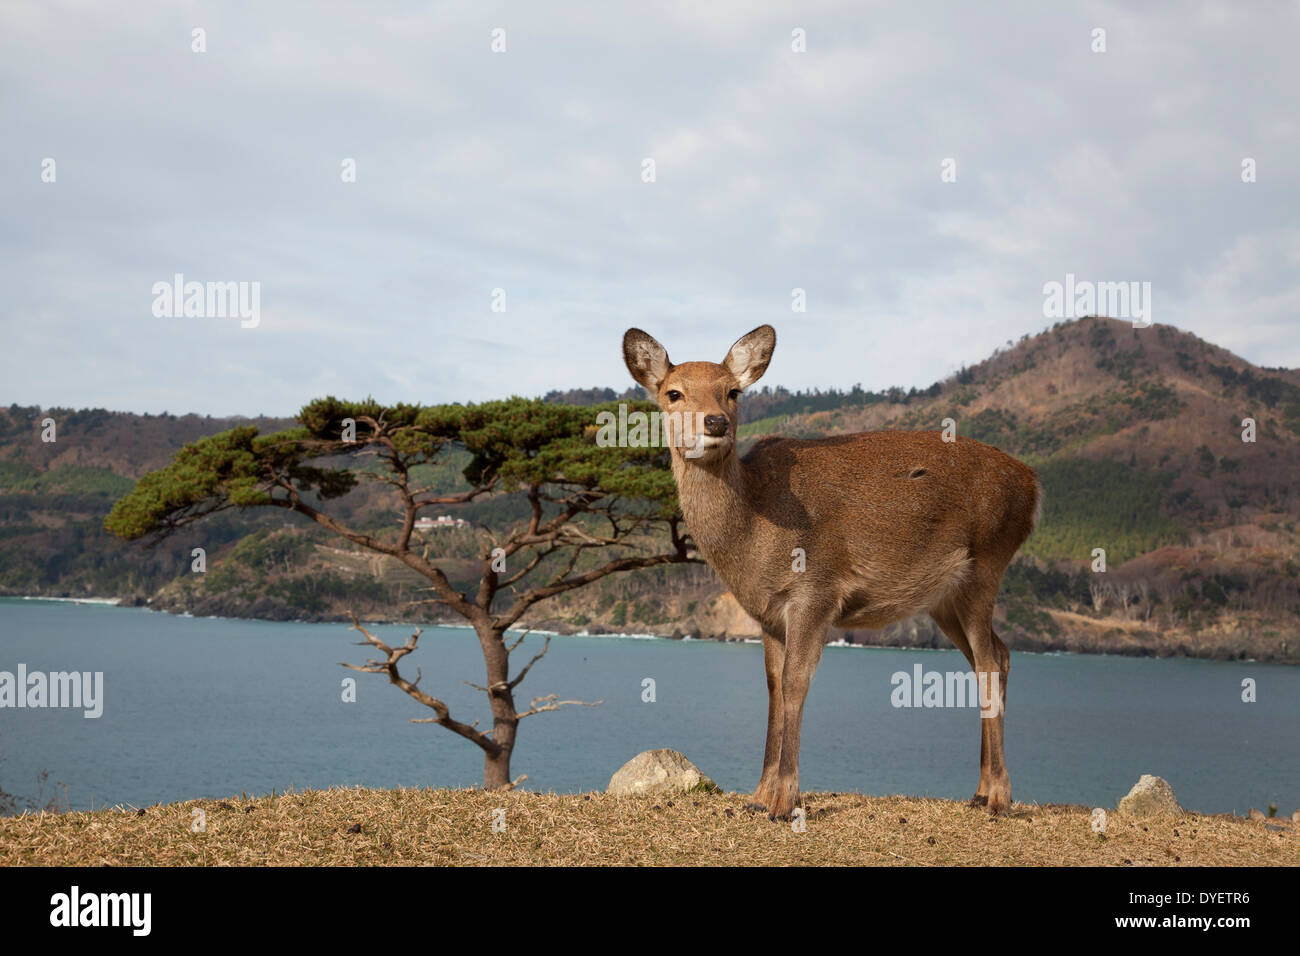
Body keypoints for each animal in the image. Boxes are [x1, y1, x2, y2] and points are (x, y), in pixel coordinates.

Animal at [622, 324, 1041, 820]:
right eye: (673, 392)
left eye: (733, 392)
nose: (716, 423)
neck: (753, 537)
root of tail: (1033, 487)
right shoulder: (767, 611)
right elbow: (773, 687)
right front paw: (758, 797)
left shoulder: (816, 590)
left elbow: (796, 683)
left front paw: (785, 802)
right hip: (945, 597)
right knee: (996, 655)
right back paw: (978, 791)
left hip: (987, 562)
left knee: (990, 661)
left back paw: (999, 797)